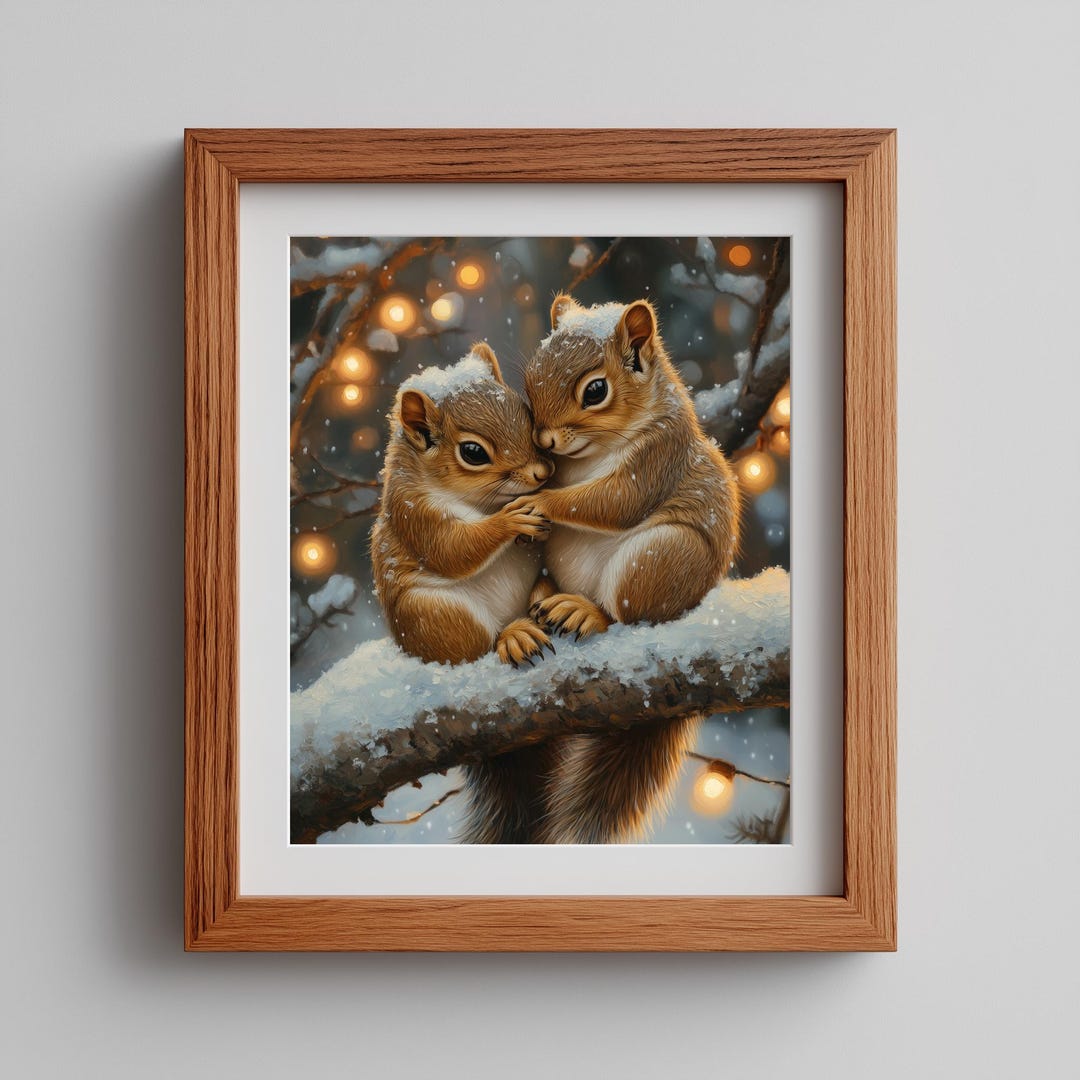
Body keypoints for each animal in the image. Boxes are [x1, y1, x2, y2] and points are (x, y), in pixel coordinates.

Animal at [371, 343, 558, 844]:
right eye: (472, 452)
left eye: (525, 412)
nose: (542, 472)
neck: (479, 502)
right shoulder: (415, 514)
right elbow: (453, 549)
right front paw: (509, 522)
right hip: (432, 616)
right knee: (474, 647)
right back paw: (513, 636)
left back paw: (543, 600)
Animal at [509, 294, 742, 843]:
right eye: (529, 379)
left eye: (595, 390)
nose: (544, 440)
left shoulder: (656, 459)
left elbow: (611, 502)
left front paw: (542, 501)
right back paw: (543, 598)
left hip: (659, 558)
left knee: (625, 615)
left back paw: (584, 613)